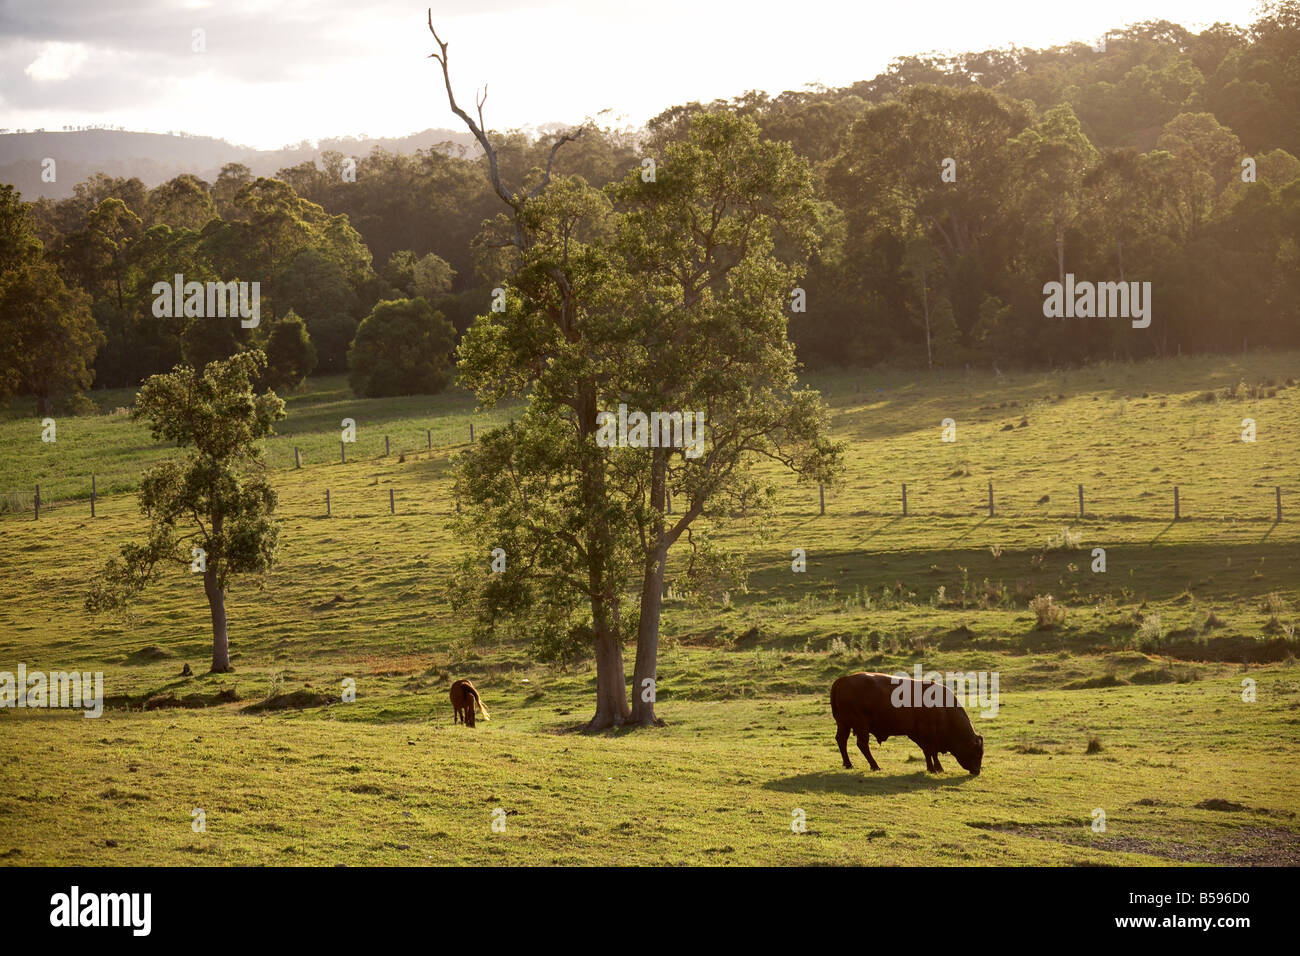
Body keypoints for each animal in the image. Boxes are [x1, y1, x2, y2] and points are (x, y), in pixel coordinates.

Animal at [831, 671, 983, 775]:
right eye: (977, 752)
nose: (977, 771)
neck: (944, 709)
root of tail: (841, 681)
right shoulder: (928, 734)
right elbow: (931, 751)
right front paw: (935, 768)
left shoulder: (922, 736)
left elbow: (929, 752)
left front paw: (934, 768)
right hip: (861, 726)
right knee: (862, 744)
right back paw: (875, 766)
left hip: (844, 724)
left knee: (841, 740)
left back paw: (848, 764)